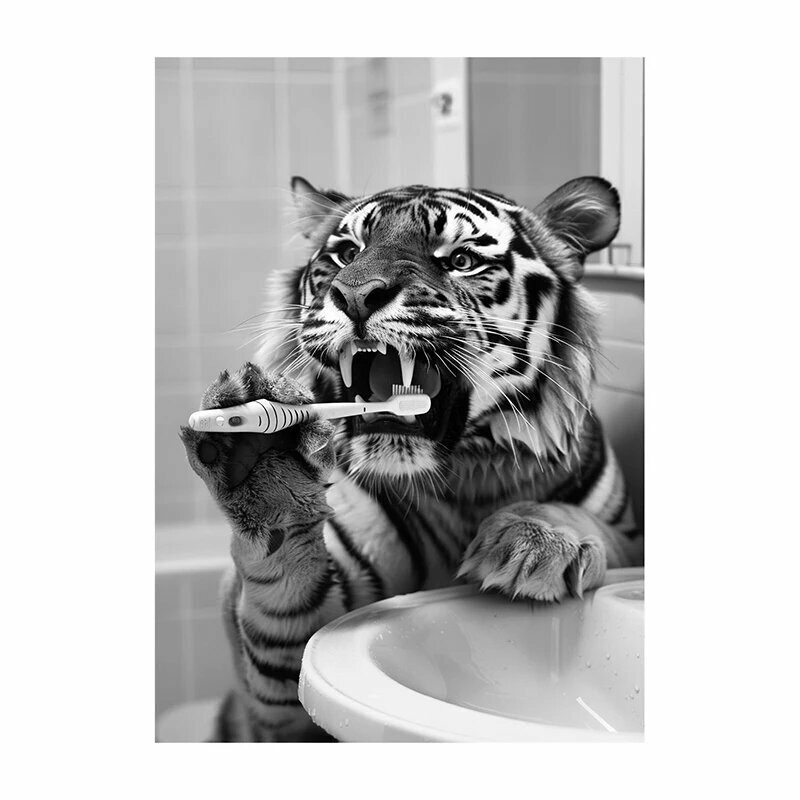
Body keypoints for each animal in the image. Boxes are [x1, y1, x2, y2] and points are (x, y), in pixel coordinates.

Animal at [180, 175, 644, 742]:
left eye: (460, 259)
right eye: (346, 253)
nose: (356, 295)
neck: (470, 477)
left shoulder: (631, 538)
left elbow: (586, 527)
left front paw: (535, 540)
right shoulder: (287, 697)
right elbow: (284, 595)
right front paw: (265, 461)